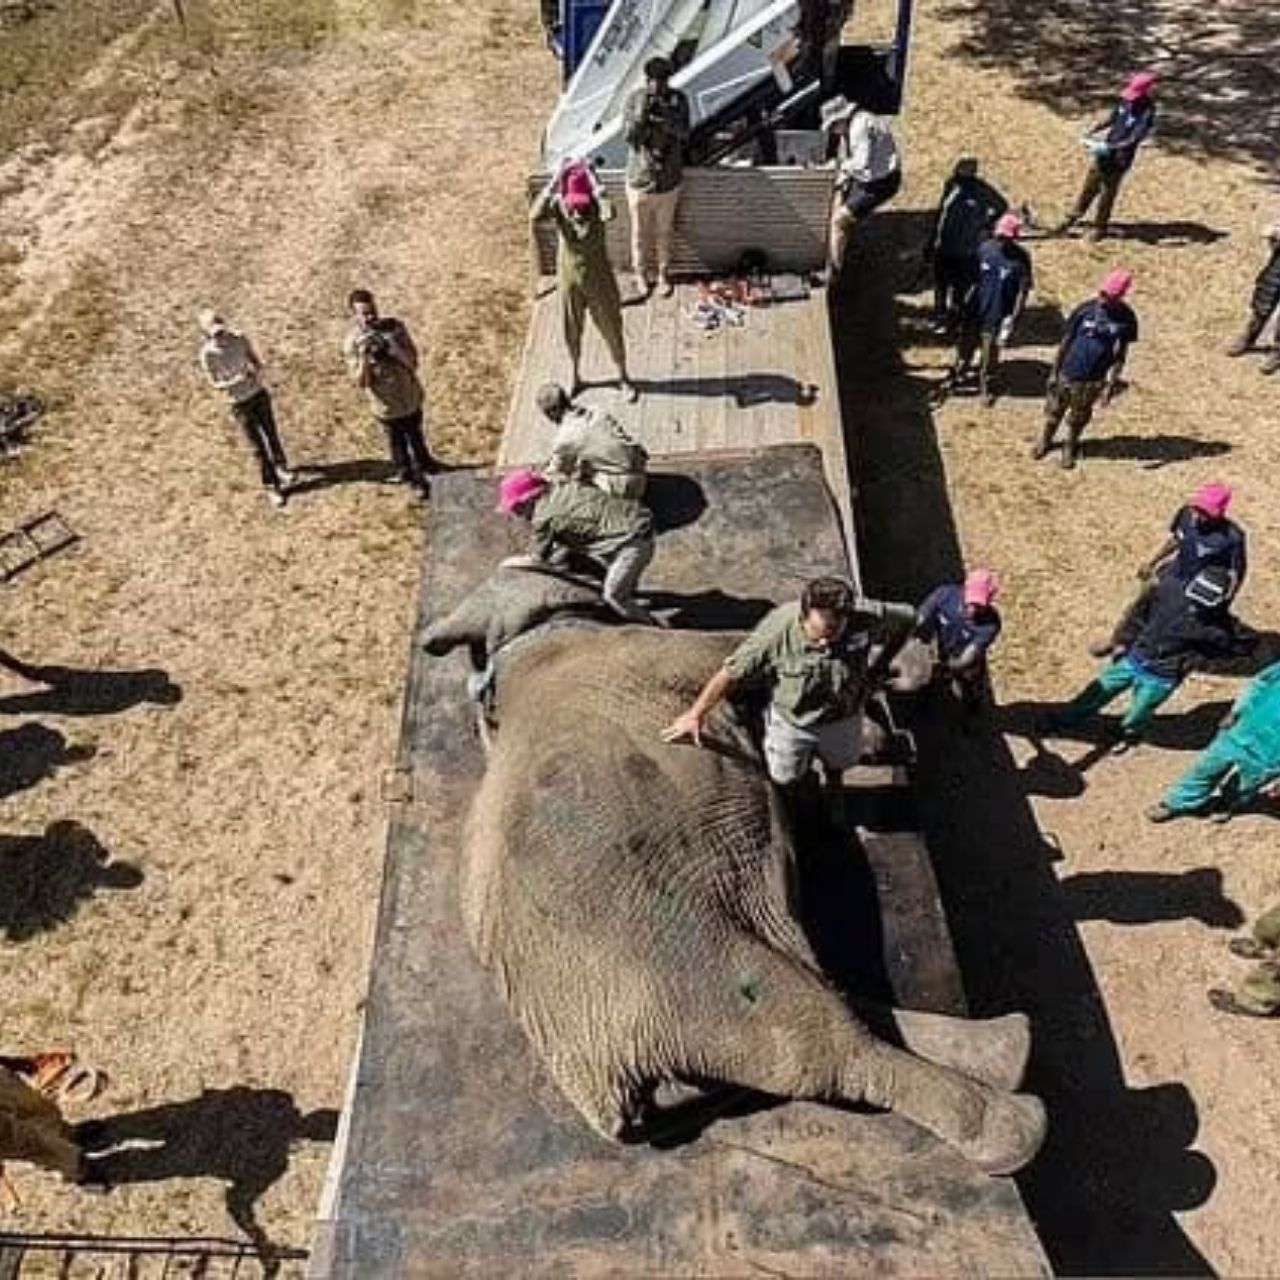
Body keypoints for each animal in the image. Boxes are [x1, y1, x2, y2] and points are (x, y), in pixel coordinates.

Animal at [423, 564, 1047, 1175]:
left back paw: (1007, 1045)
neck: (521, 638)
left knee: (824, 1000)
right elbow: (739, 657)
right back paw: (1014, 1127)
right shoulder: (674, 649)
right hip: (682, 973)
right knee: (828, 1040)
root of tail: (603, 1089)